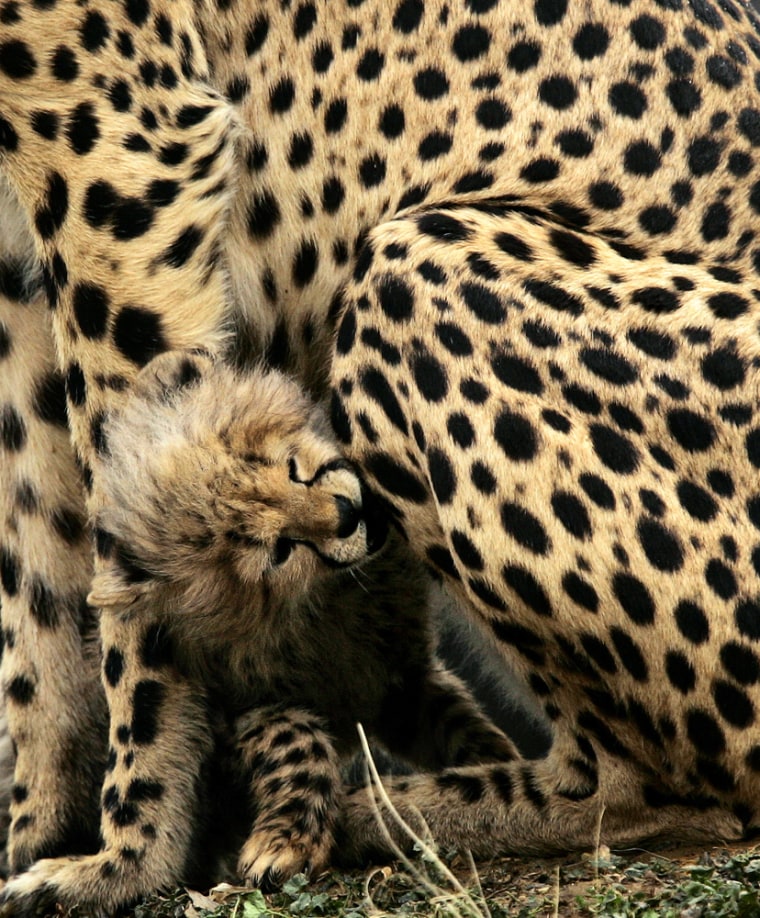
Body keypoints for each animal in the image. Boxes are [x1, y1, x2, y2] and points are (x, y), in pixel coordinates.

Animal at [2, 0, 760, 913]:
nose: (337, 513)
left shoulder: (129, 162)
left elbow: (118, 528)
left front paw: (133, 854)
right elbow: (36, 566)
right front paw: (37, 828)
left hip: (411, 258)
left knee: (661, 787)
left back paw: (371, 811)